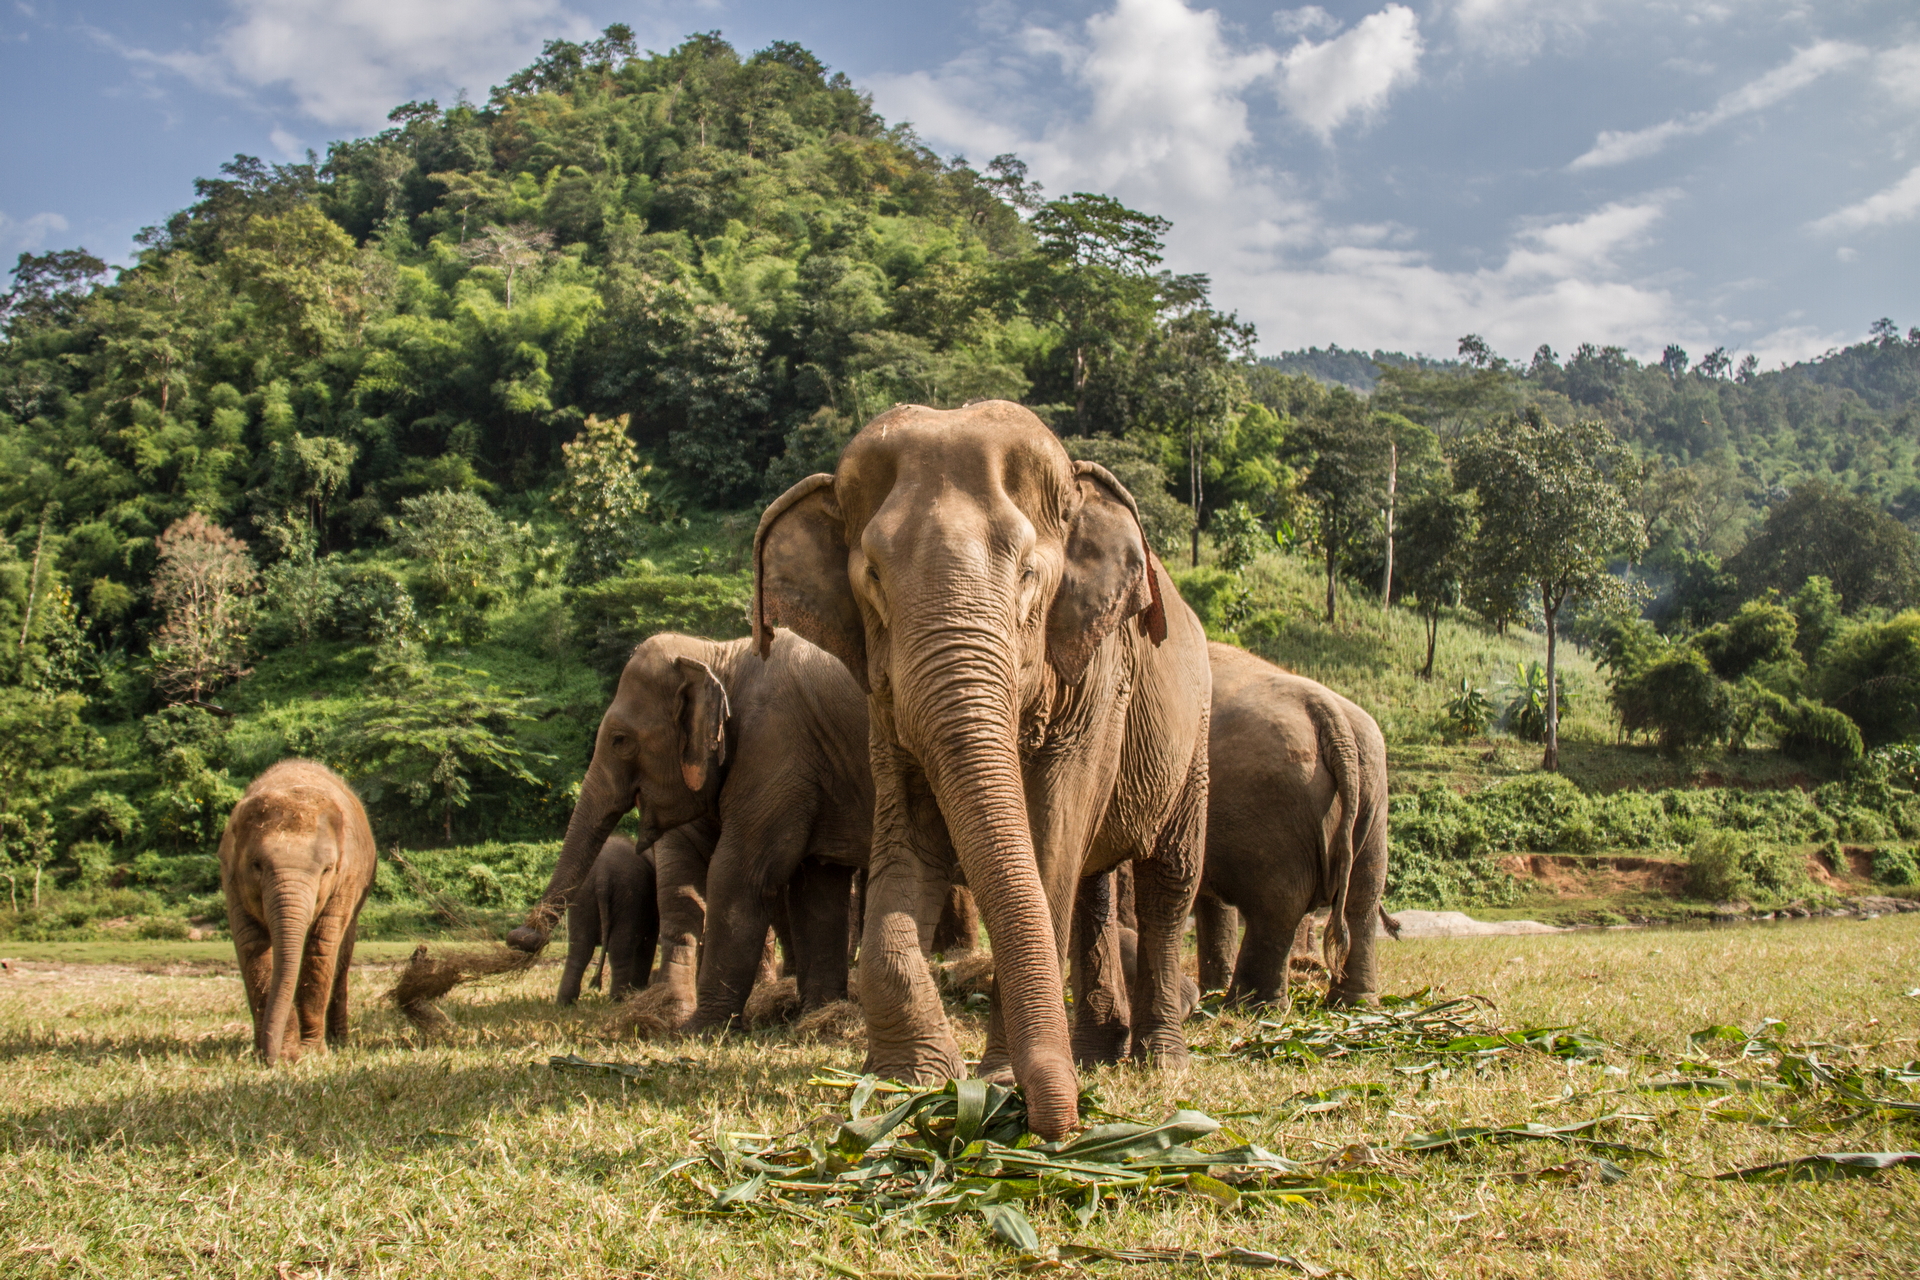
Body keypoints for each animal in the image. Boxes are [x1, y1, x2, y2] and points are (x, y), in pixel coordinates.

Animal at [218, 760, 378, 1064]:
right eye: (256, 865)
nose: (270, 1058)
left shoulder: (347, 879)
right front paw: (285, 1053)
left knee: (341, 954)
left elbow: (322, 946)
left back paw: (339, 1042)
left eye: (327, 869)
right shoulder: (231, 880)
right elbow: (252, 946)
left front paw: (311, 1052)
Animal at [558, 834, 659, 1005]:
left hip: (583, 896)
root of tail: (602, 877)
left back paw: (565, 1002)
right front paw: (639, 991)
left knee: (580, 947)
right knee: (619, 947)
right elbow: (647, 943)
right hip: (628, 897)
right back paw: (619, 999)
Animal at [755, 399, 1212, 1139]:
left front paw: (994, 1079)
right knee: (1093, 886)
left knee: (1168, 879)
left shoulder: (1096, 677)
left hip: (1194, 734)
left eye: (1027, 572)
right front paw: (908, 1081)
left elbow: (1050, 840)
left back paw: (1160, 1062)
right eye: (873, 577)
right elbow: (908, 839)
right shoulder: (885, 701)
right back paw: (1094, 1055)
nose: (1059, 1124)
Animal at [1192, 642, 1390, 1008]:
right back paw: (1354, 1003)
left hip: (1268, 804)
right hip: (1373, 795)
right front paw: (1209, 989)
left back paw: (1249, 1005)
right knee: (1363, 896)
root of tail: (1332, 719)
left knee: (1276, 905)